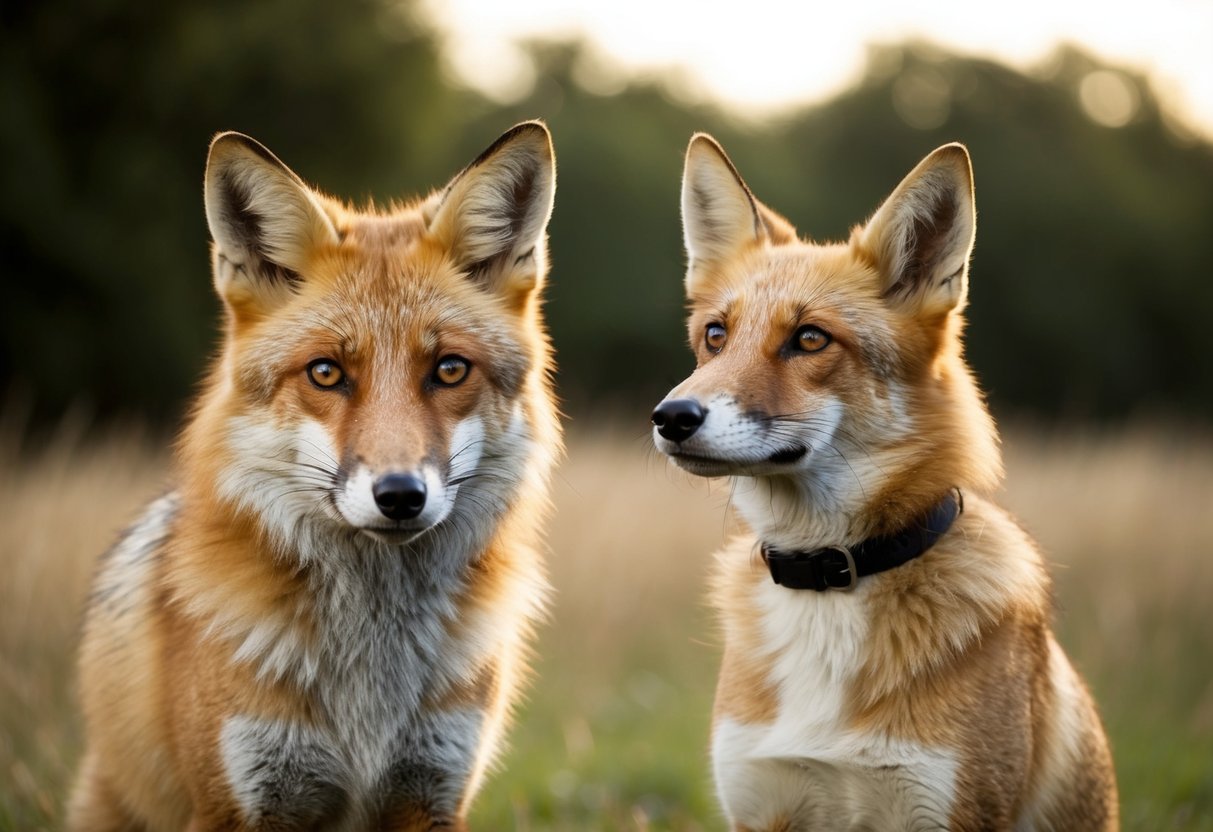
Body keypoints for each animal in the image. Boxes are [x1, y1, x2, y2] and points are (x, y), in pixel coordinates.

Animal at [68, 121, 560, 831]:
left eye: (449, 370)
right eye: (326, 373)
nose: (400, 496)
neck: (370, 687)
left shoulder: (432, 794)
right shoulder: (241, 803)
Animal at [651, 135, 1118, 830]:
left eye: (809, 338)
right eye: (716, 335)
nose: (671, 418)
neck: (829, 581)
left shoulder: (945, 811)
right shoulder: (761, 805)